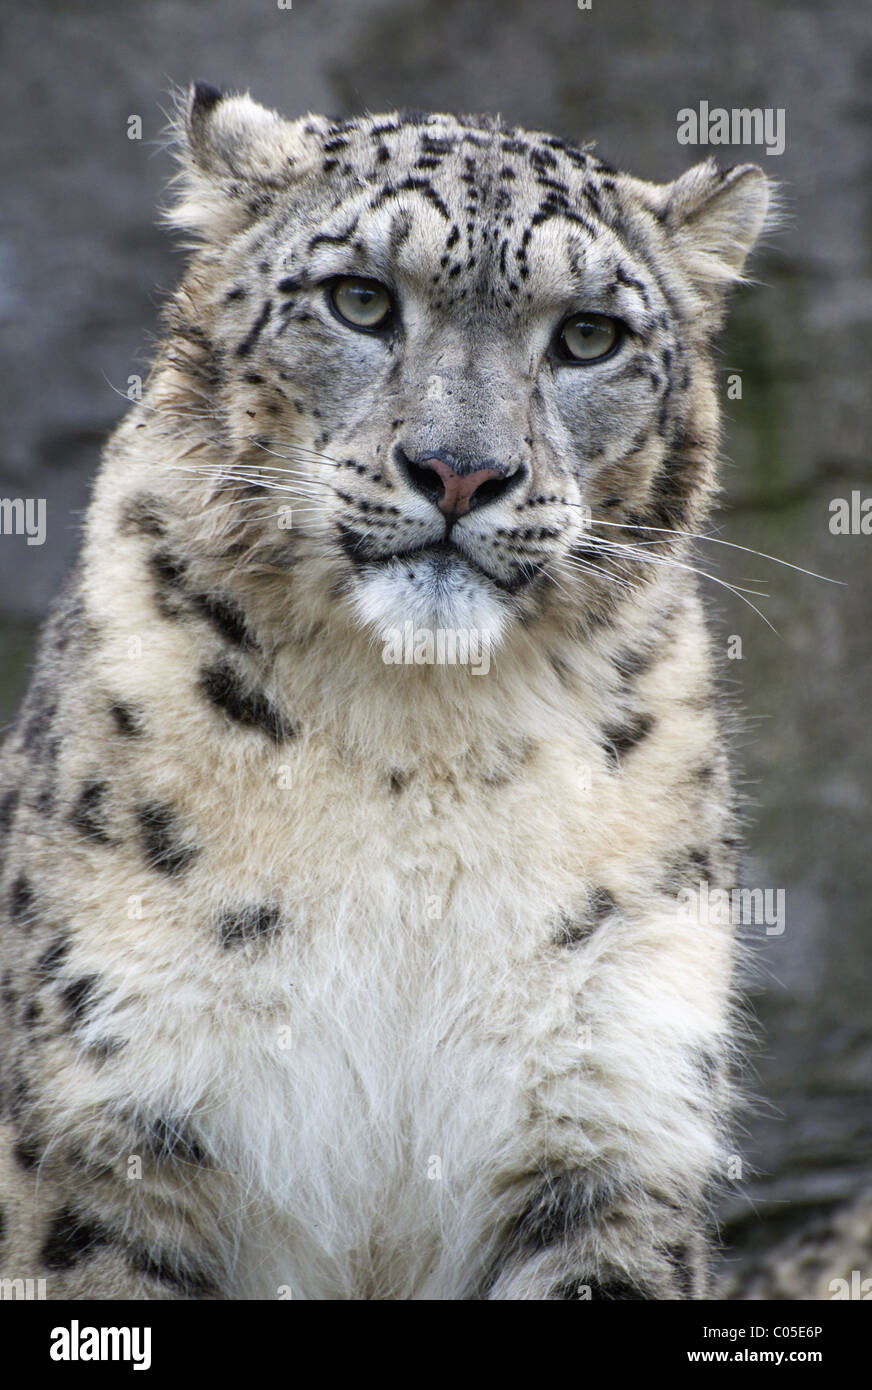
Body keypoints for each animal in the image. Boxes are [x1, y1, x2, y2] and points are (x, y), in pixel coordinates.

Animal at [0, 83, 773, 1300]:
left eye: (588, 335)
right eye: (360, 299)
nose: (461, 470)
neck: (420, 736)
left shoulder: (609, 1117)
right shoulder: (115, 1123)